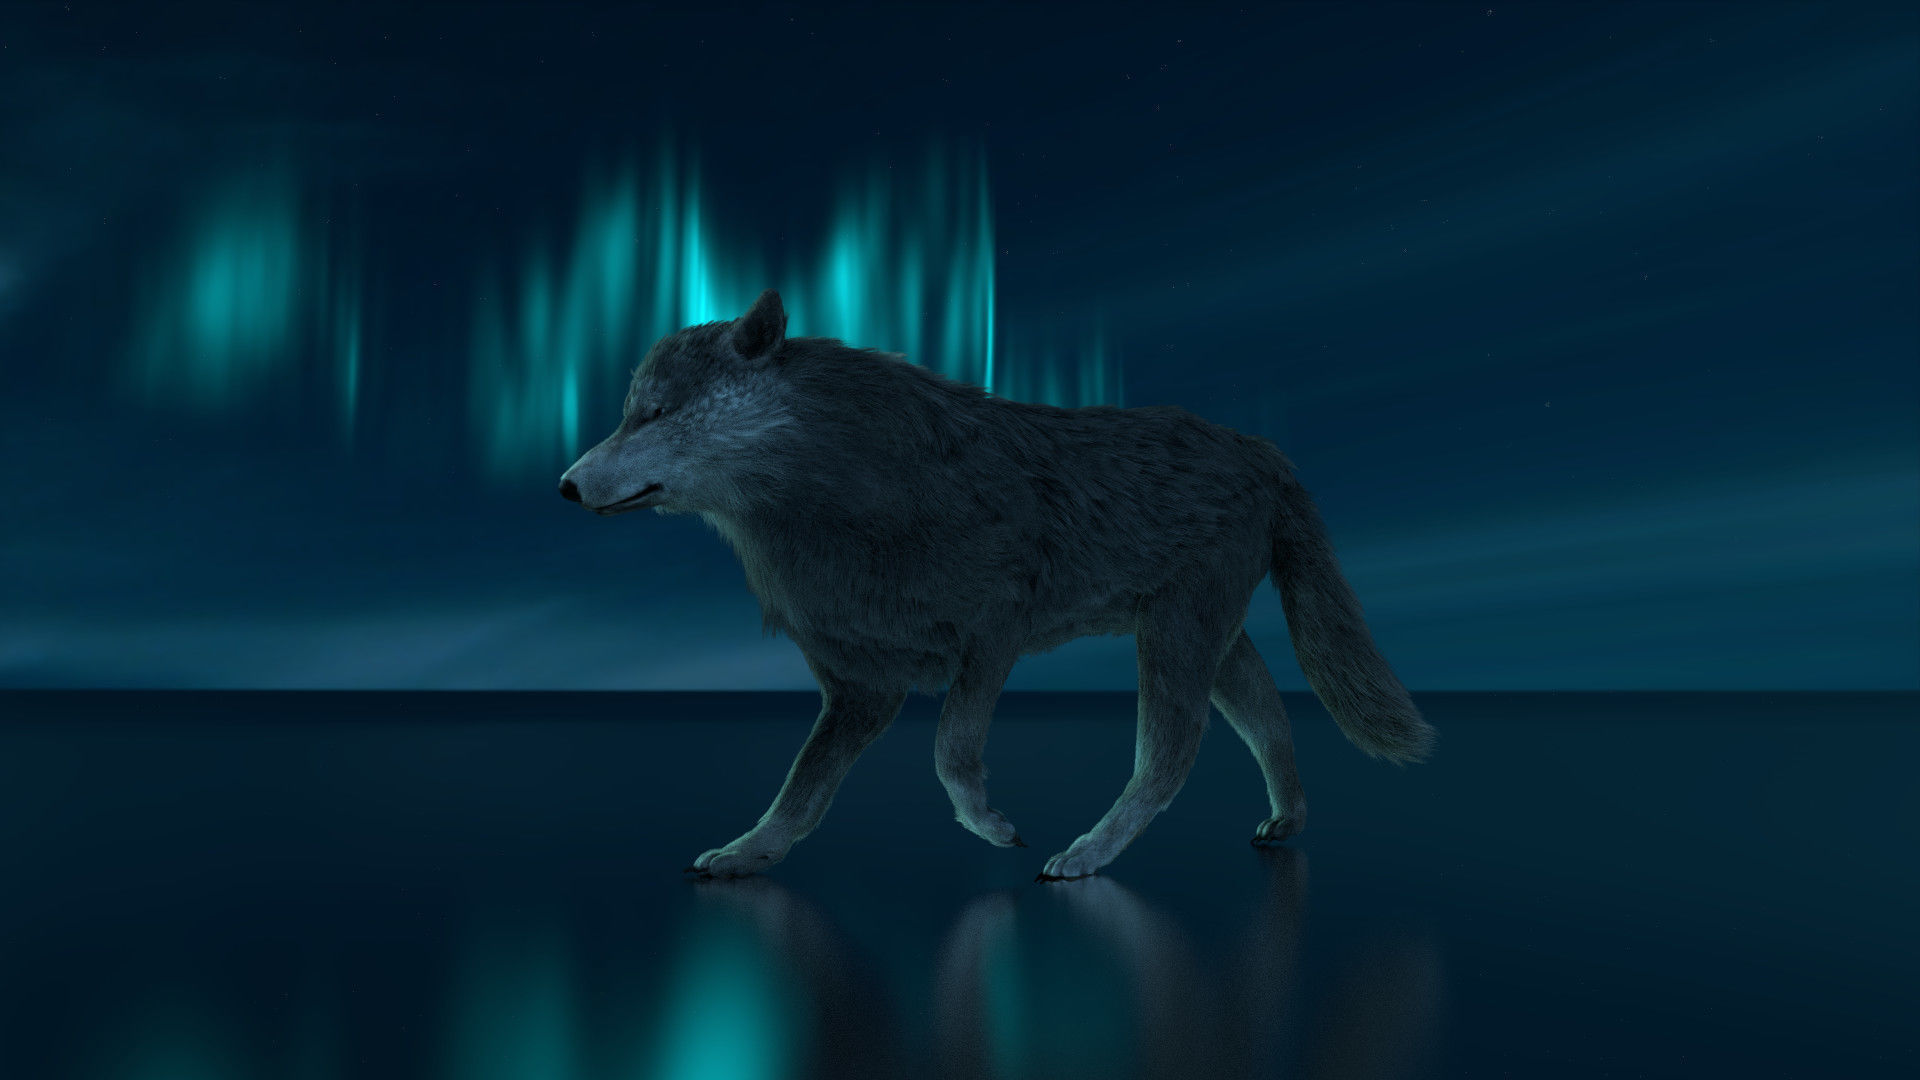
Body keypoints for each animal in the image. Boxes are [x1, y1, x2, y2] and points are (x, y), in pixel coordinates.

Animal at [559, 289, 1433, 881]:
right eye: (628, 411)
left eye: (656, 412)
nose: (565, 486)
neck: (835, 491)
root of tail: (1264, 449)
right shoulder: (860, 688)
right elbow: (801, 788)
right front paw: (748, 853)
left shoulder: (993, 635)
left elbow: (950, 750)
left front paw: (993, 829)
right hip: (1210, 640)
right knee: (1271, 718)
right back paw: (1285, 821)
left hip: (1176, 638)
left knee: (1172, 751)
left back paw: (1088, 854)